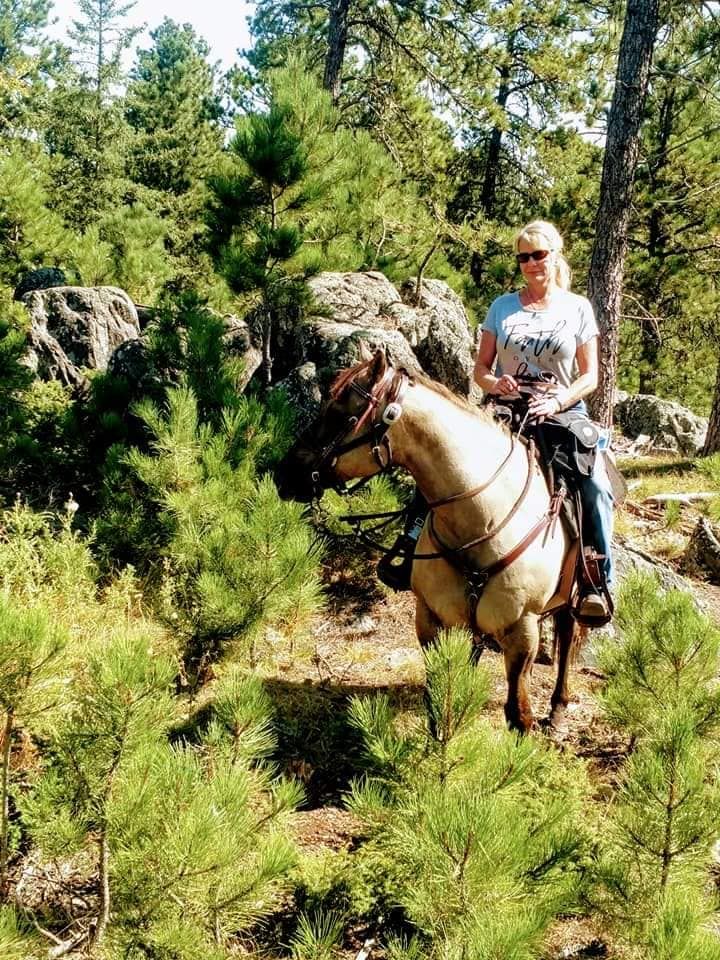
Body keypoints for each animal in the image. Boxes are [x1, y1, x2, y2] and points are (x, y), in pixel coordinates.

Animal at [278, 346, 583, 734]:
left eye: (340, 414)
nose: (284, 475)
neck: (481, 520)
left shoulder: (522, 632)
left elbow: (519, 714)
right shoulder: (430, 619)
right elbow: (438, 702)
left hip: (573, 597)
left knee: (567, 637)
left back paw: (558, 707)